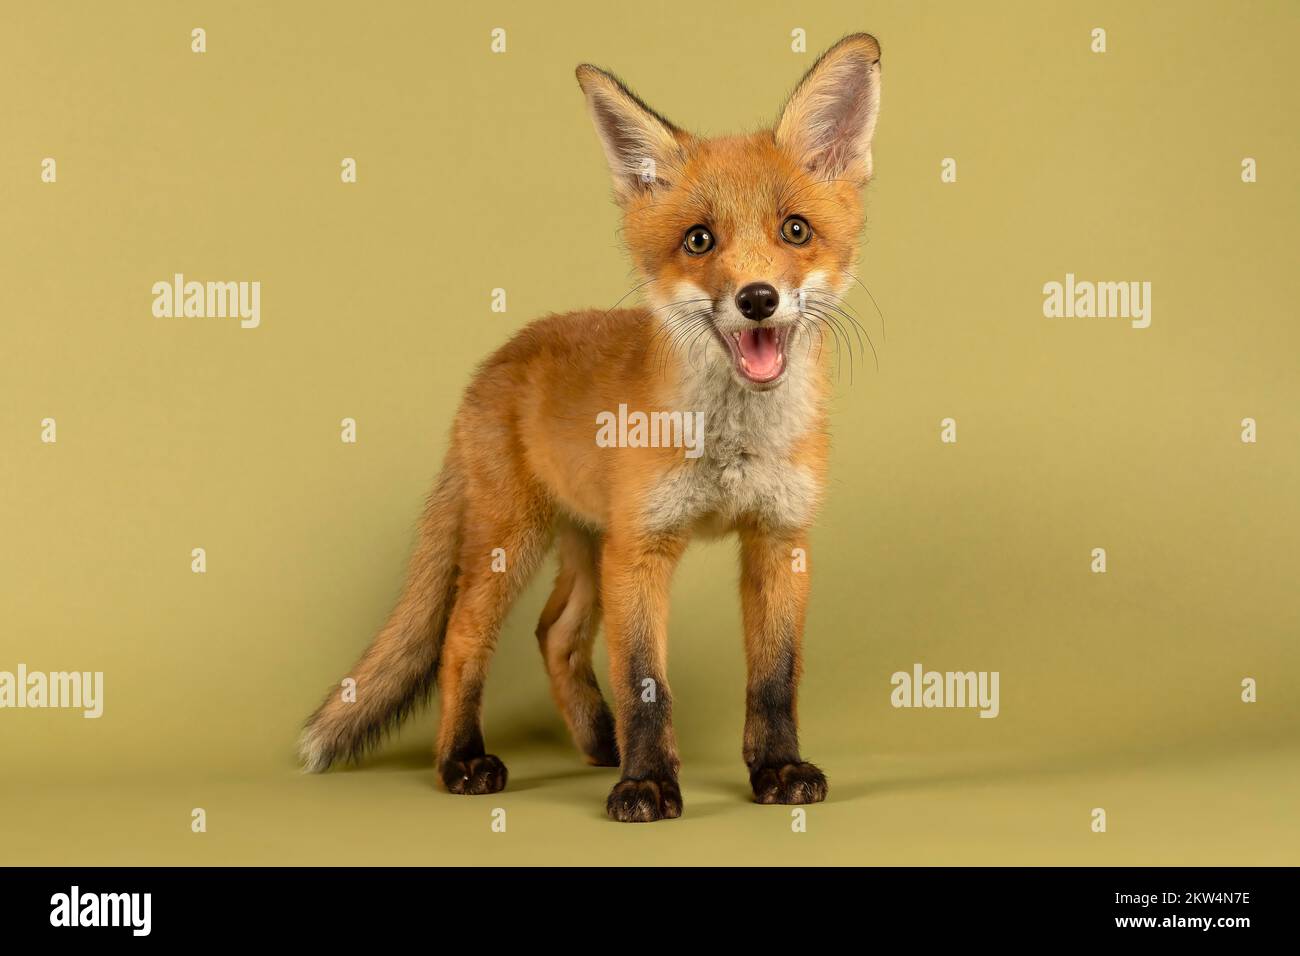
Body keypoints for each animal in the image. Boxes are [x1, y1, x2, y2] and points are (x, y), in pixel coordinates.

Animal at [300, 32, 883, 822]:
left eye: (796, 230)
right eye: (699, 241)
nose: (758, 299)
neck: (728, 443)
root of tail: (499, 357)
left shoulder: (778, 539)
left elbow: (774, 678)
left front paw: (777, 769)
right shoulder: (642, 549)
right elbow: (645, 682)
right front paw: (647, 785)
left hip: (587, 544)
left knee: (555, 634)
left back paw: (599, 741)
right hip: (513, 540)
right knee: (461, 639)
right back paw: (463, 760)